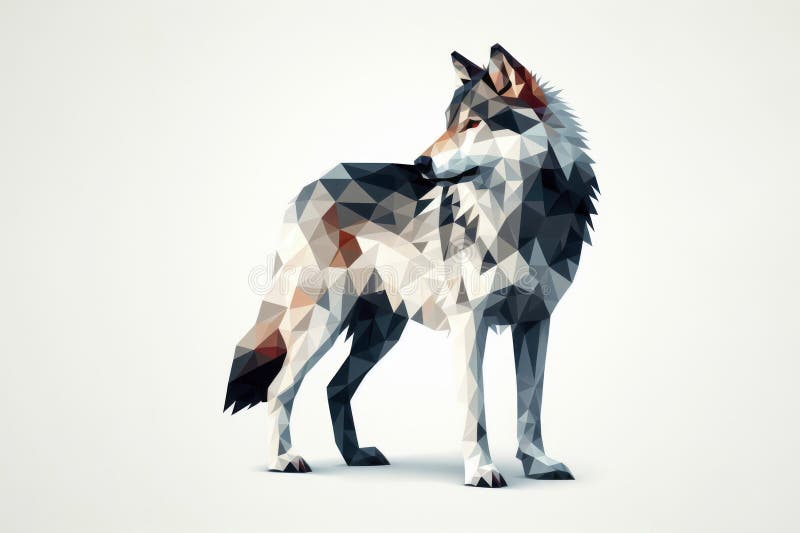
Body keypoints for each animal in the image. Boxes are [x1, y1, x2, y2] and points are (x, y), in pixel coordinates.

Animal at [225, 44, 598, 487]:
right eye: (447, 122)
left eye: (473, 123)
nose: (420, 164)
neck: (523, 217)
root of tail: (312, 185)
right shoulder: (469, 323)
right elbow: (476, 410)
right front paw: (481, 471)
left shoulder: (536, 322)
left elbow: (531, 406)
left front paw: (538, 464)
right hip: (322, 323)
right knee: (279, 387)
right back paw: (283, 460)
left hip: (382, 332)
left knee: (334, 388)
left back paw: (355, 456)